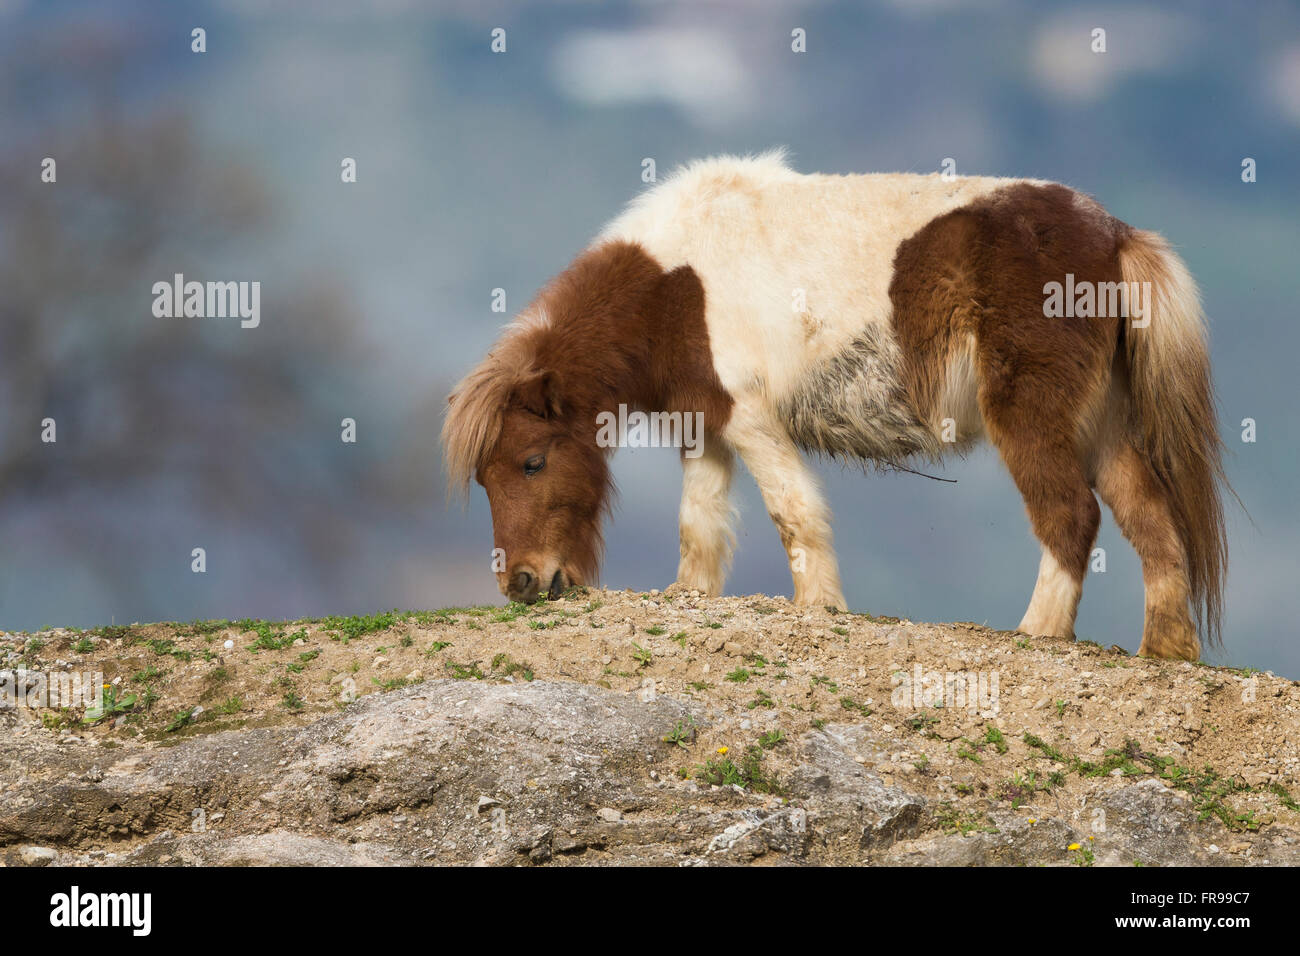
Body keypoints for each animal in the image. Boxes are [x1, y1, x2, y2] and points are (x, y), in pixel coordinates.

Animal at [443, 152, 1228, 661]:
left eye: (532, 461)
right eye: (483, 477)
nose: (522, 583)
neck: (675, 285)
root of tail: (1115, 236)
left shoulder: (749, 419)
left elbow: (794, 514)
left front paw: (819, 606)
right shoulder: (705, 426)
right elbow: (700, 528)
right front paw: (689, 596)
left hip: (1033, 416)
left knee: (1070, 515)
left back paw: (1037, 634)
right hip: (1101, 426)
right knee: (1151, 518)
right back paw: (1165, 650)